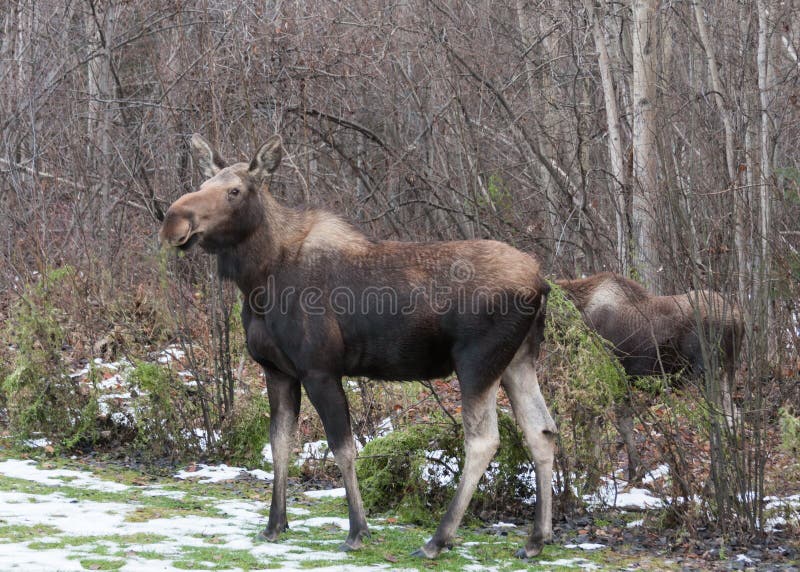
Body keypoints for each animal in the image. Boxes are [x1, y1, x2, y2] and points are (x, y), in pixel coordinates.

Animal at [159, 134, 557, 559]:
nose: (174, 220)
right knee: (542, 430)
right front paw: (275, 525)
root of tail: (542, 283)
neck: (257, 280)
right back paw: (537, 538)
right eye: (203, 184)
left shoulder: (320, 368)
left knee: (484, 441)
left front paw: (358, 530)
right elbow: (280, 445)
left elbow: (343, 448)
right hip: (518, 360)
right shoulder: (277, 370)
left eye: (234, 191)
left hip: (477, 363)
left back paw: (438, 539)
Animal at [555, 273, 743, 481]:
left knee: (718, 419)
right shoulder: (622, 383)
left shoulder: (605, 378)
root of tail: (737, 318)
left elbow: (594, 424)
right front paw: (634, 473)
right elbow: (625, 425)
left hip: (708, 373)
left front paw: (593, 475)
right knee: (733, 417)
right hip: (727, 371)